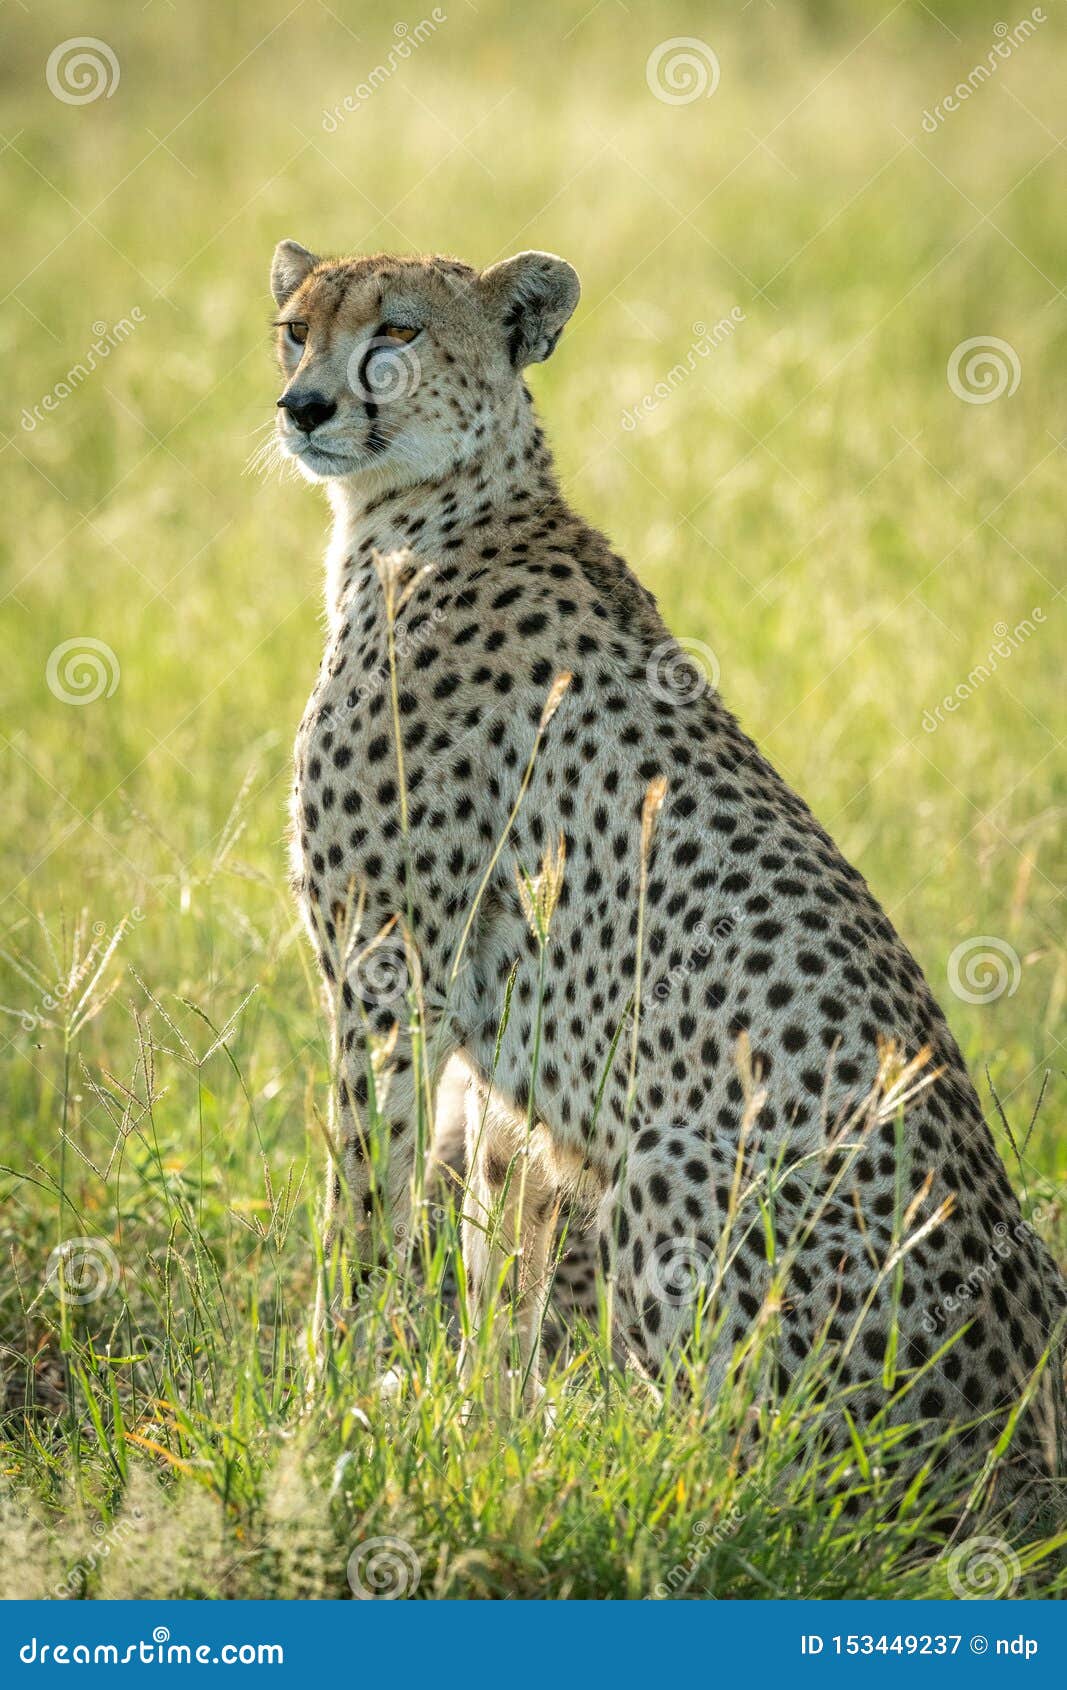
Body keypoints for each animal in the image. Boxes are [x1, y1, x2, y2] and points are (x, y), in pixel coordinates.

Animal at [269, 237, 1065, 1518]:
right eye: (295, 326)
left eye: (393, 330)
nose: (303, 405)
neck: (434, 511)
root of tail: (1018, 1456)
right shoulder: (480, 1042)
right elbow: (494, 1249)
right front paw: (471, 1430)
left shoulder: (385, 967)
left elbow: (365, 1204)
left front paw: (328, 1402)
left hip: (675, 1167)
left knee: (753, 1470)